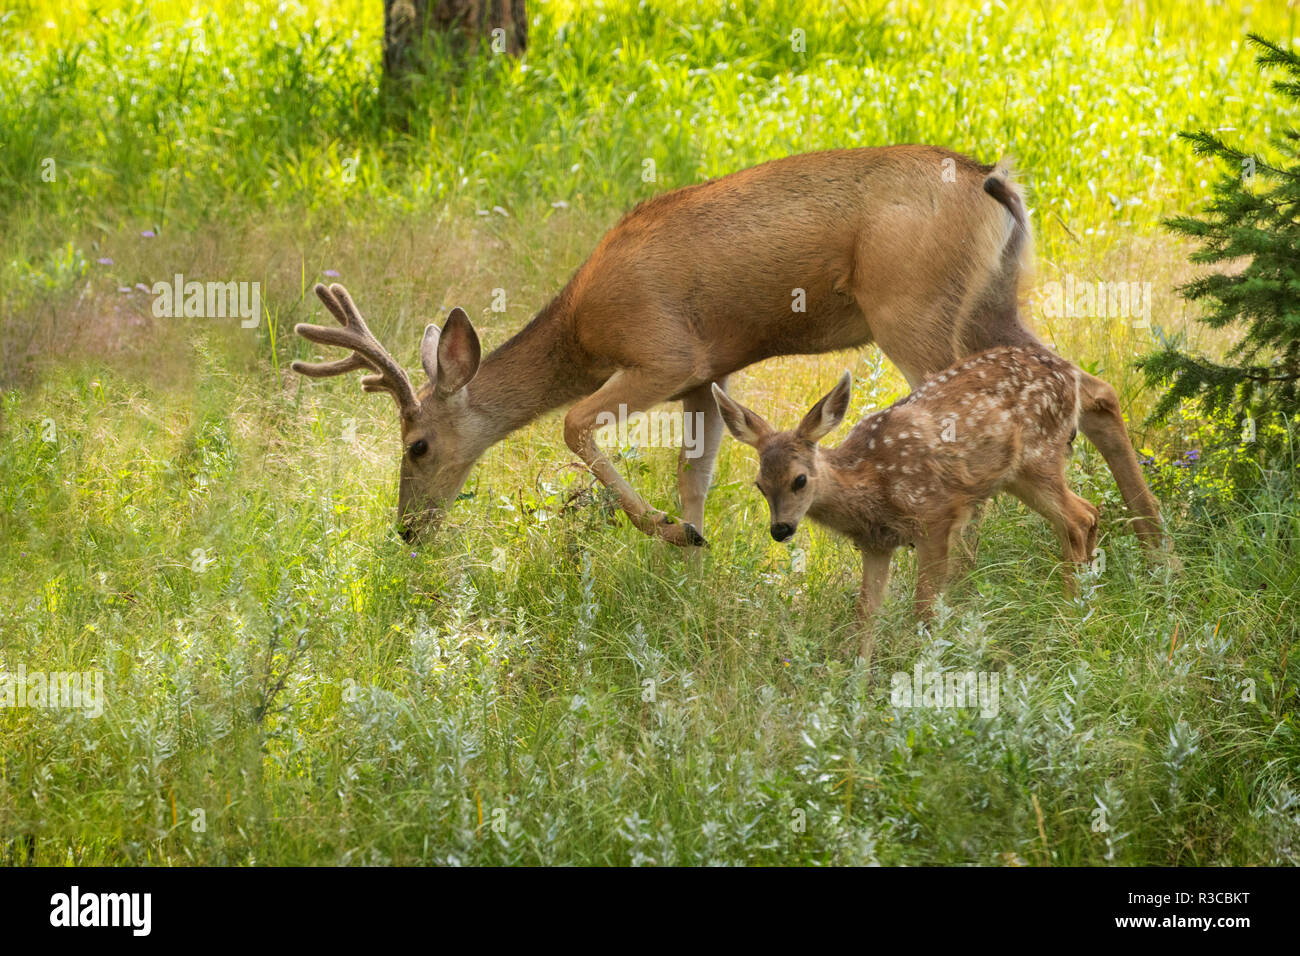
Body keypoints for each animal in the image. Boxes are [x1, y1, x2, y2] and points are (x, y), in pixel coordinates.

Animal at [291, 145, 1167, 559]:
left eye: (417, 444)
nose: (407, 531)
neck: (582, 324)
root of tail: (1000, 183)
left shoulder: (664, 354)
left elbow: (576, 424)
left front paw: (665, 533)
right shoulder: (708, 376)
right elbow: (697, 472)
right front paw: (691, 543)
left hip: (916, 310)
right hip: (992, 304)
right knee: (1094, 388)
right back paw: (1155, 542)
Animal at [711, 345, 1100, 661]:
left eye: (800, 479)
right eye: (760, 485)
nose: (780, 529)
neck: (873, 483)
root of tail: (1071, 372)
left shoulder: (936, 518)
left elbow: (924, 610)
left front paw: (921, 669)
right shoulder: (876, 543)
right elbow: (866, 613)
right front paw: (859, 682)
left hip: (1038, 455)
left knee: (1077, 518)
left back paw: (1071, 612)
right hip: (1018, 474)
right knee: (1089, 512)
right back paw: (1089, 594)